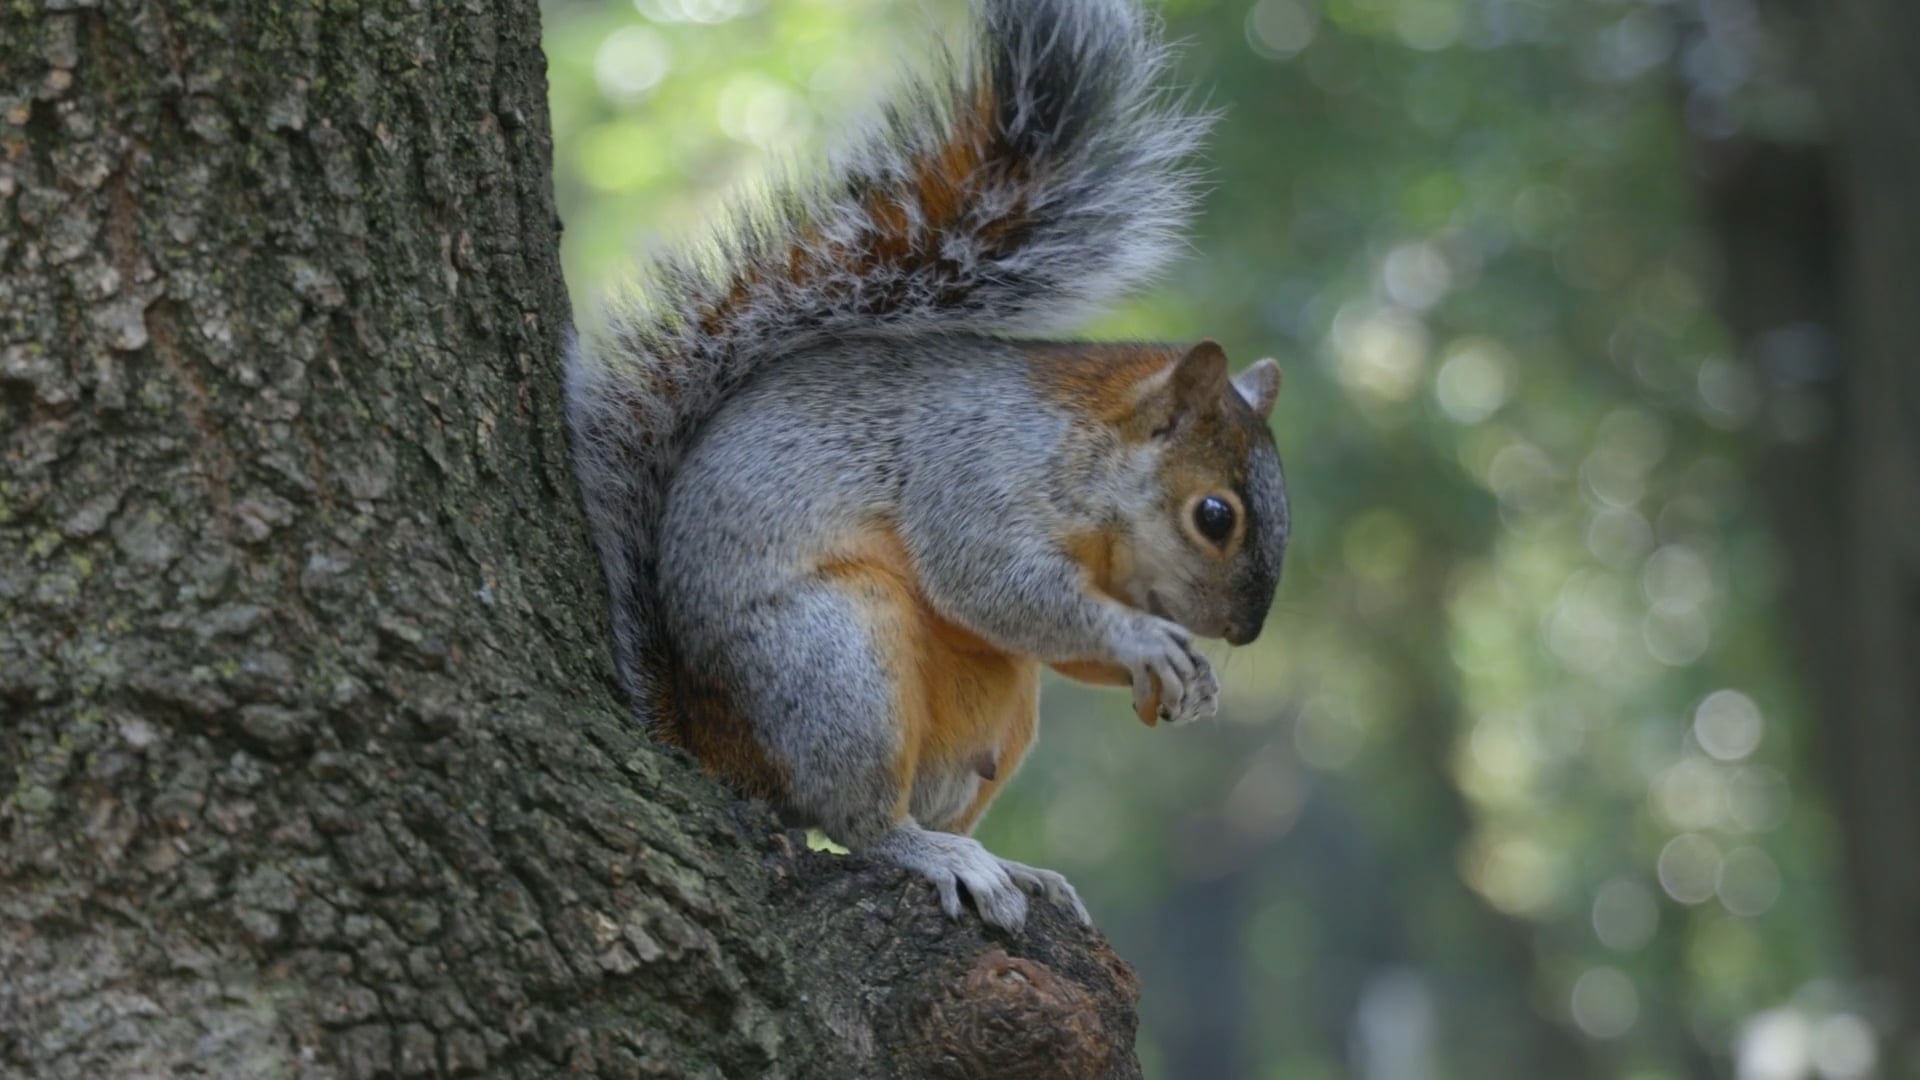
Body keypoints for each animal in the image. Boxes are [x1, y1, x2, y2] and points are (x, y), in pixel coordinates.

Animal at [564, 0, 1289, 931]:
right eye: (1215, 516)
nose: (1244, 633)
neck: (1087, 467)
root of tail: (707, 741)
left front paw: (1193, 682)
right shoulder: (968, 471)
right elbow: (992, 584)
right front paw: (1143, 639)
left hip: (994, 718)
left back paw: (1009, 864)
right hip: (834, 661)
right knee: (856, 817)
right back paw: (932, 853)